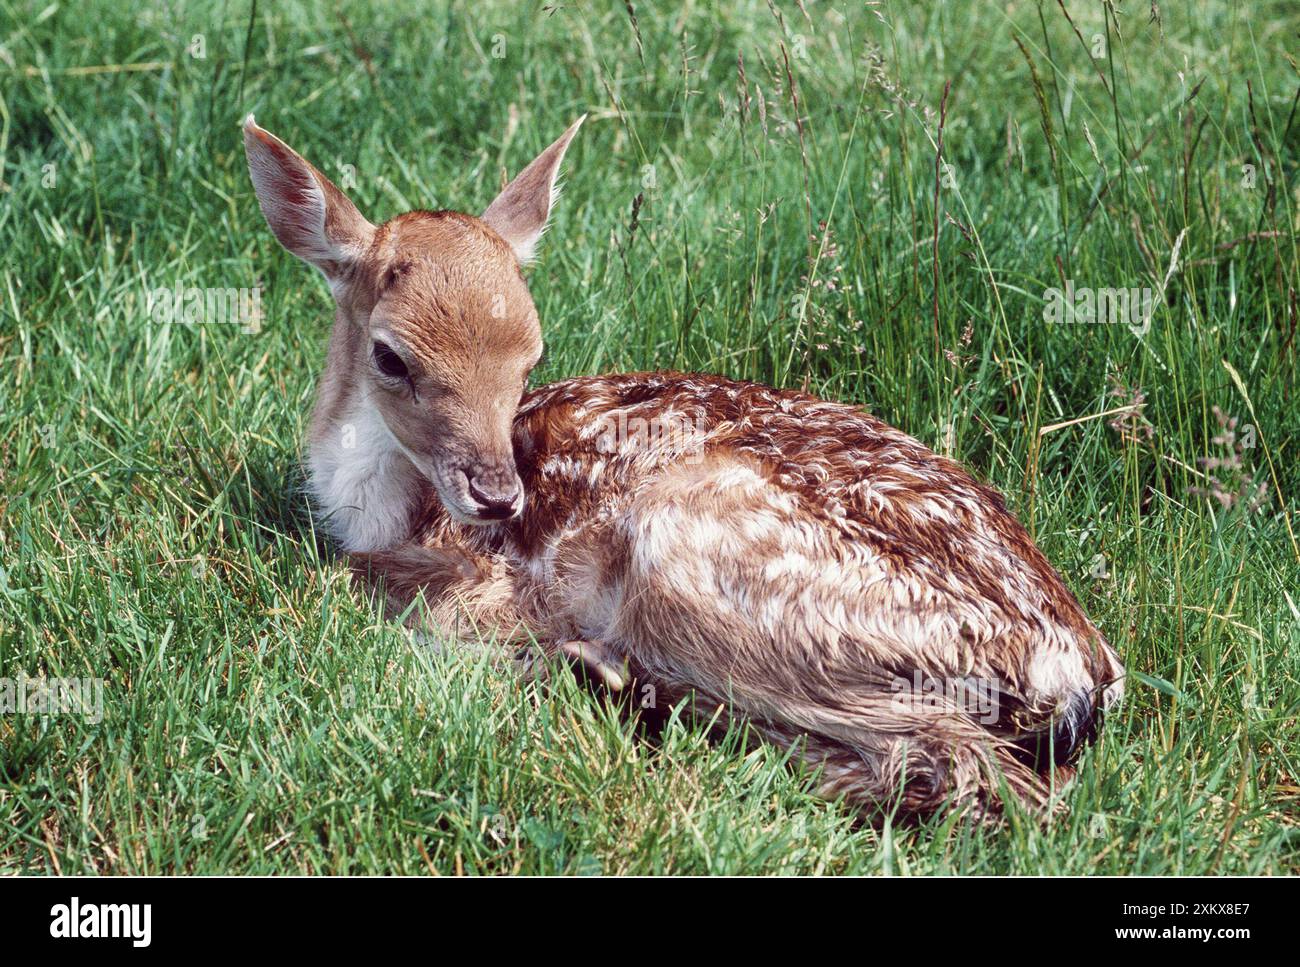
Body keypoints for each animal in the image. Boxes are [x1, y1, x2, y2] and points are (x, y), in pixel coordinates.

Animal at [243, 113, 1124, 818]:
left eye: (532, 355)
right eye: (391, 357)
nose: (497, 495)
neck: (388, 503)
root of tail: (1075, 673)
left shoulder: (495, 577)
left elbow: (352, 584)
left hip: (707, 563)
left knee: (964, 767)